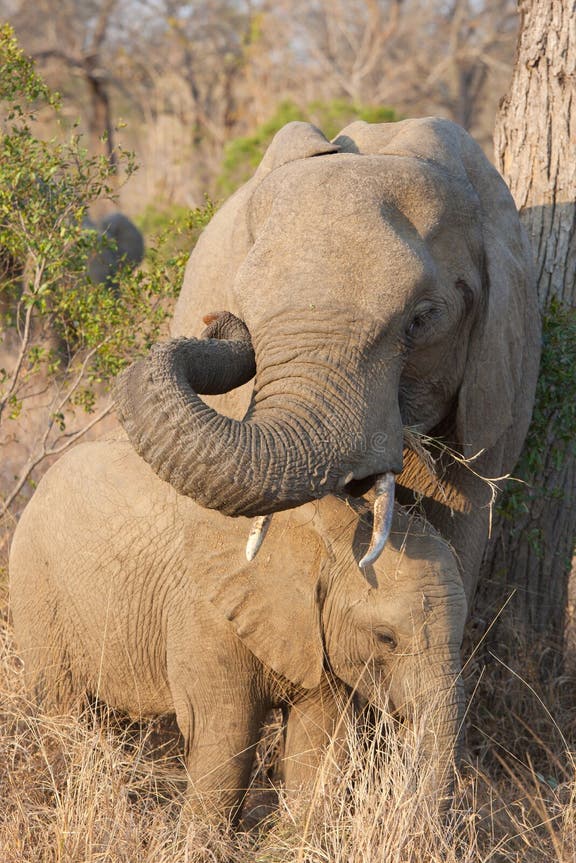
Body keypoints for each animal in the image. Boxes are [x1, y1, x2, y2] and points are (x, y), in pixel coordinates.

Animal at [9, 437, 467, 824]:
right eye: (386, 638)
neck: (332, 532)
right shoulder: (204, 616)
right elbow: (225, 739)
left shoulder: (320, 636)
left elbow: (318, 742)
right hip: (38, 590)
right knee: (64, 706)